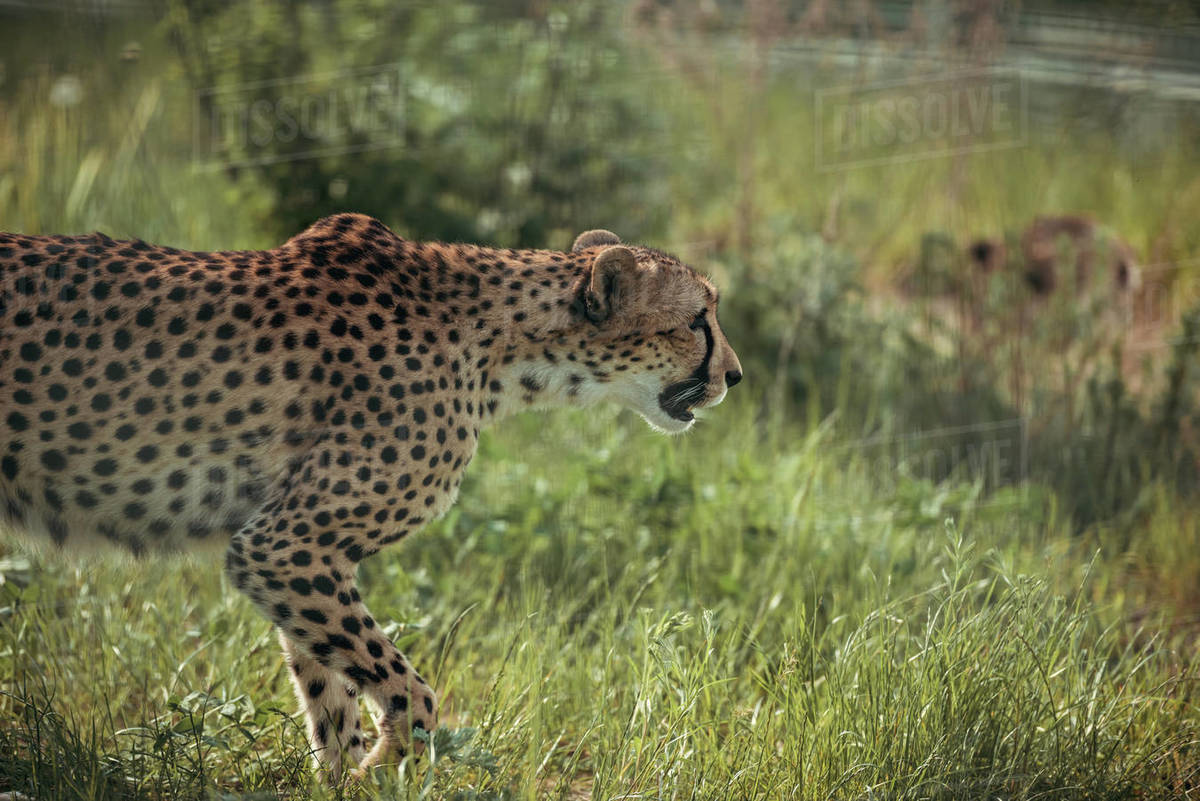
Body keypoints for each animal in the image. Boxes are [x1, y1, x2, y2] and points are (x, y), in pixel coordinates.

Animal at [0, 213, 742, 779]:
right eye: (696, 320)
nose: (734, 375)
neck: (502, 350)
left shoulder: (301, 553)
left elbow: (329, 691)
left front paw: (343, 775)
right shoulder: (283, 545)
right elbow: (409, 690)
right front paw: (383, 769)